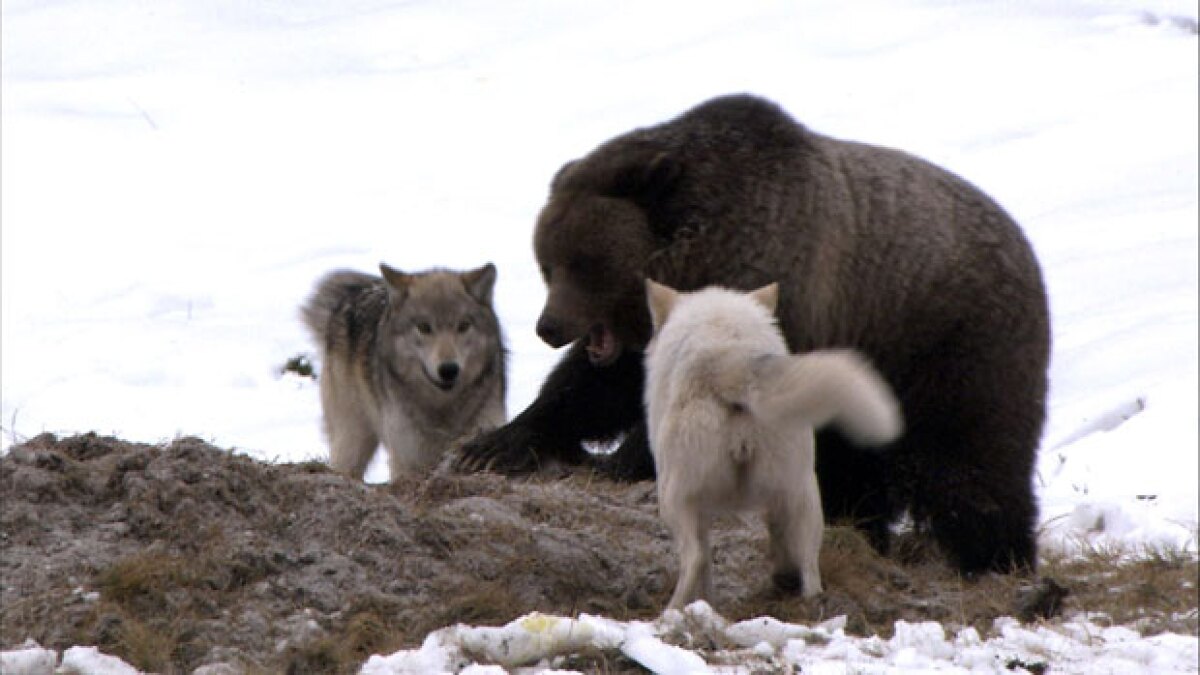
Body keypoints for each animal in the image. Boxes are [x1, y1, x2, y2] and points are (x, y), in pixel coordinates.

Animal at [302, 262, 507, 481]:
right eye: (424, 327)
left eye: (464, 326)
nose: (449, 369)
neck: (442, 407)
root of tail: (352, 295)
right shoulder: (407, 461)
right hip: (352, 442)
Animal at [456, 93, 1051, 574]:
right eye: (547, 262)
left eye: (584, 263)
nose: (548, 327)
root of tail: (1027, 249)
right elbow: (592, 389)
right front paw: (494, 444)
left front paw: (619, 464)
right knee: (854, 468)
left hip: (952, 348)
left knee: (972, 466)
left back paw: (998, 558)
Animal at [643, 279, 902, 610]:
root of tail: (730, 361)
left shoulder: (697, 508)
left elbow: (705, 569)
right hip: (802, 495)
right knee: (810, 569)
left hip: (673, 501)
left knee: (694, 559)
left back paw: (670, 612)